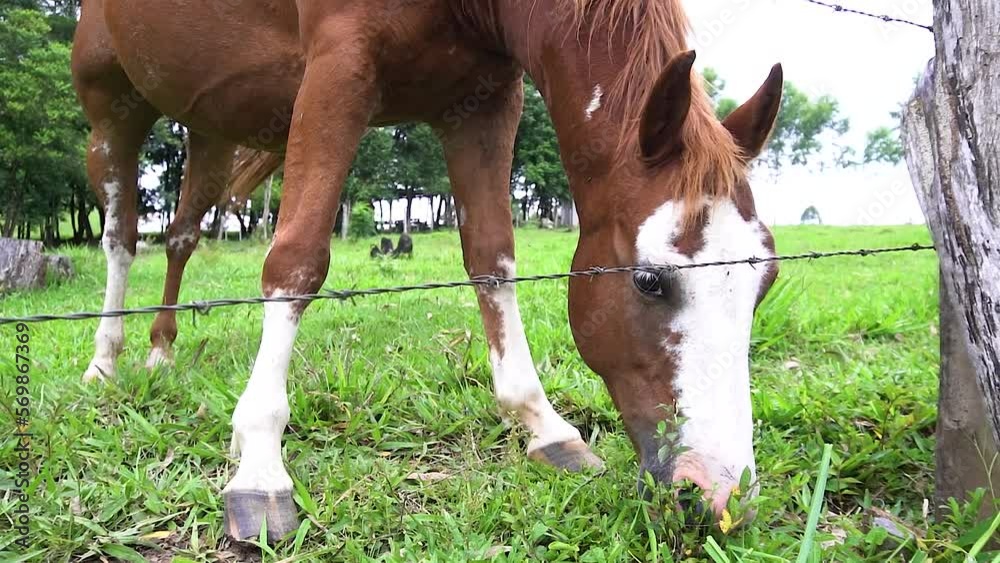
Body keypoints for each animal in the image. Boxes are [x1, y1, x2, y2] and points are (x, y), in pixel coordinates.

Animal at [71, 0, 782, 542]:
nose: (719, 498)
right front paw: (260, 463)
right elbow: (297, 259)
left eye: (764, 282)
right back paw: (105, 362)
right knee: (121, 239)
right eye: (648, 280)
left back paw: (161, 351)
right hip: (114, 106)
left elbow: (492, 257)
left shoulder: (483, 100)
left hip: (208, 123)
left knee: (181, 237)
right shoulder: (338, 65)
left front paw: (542, 424)